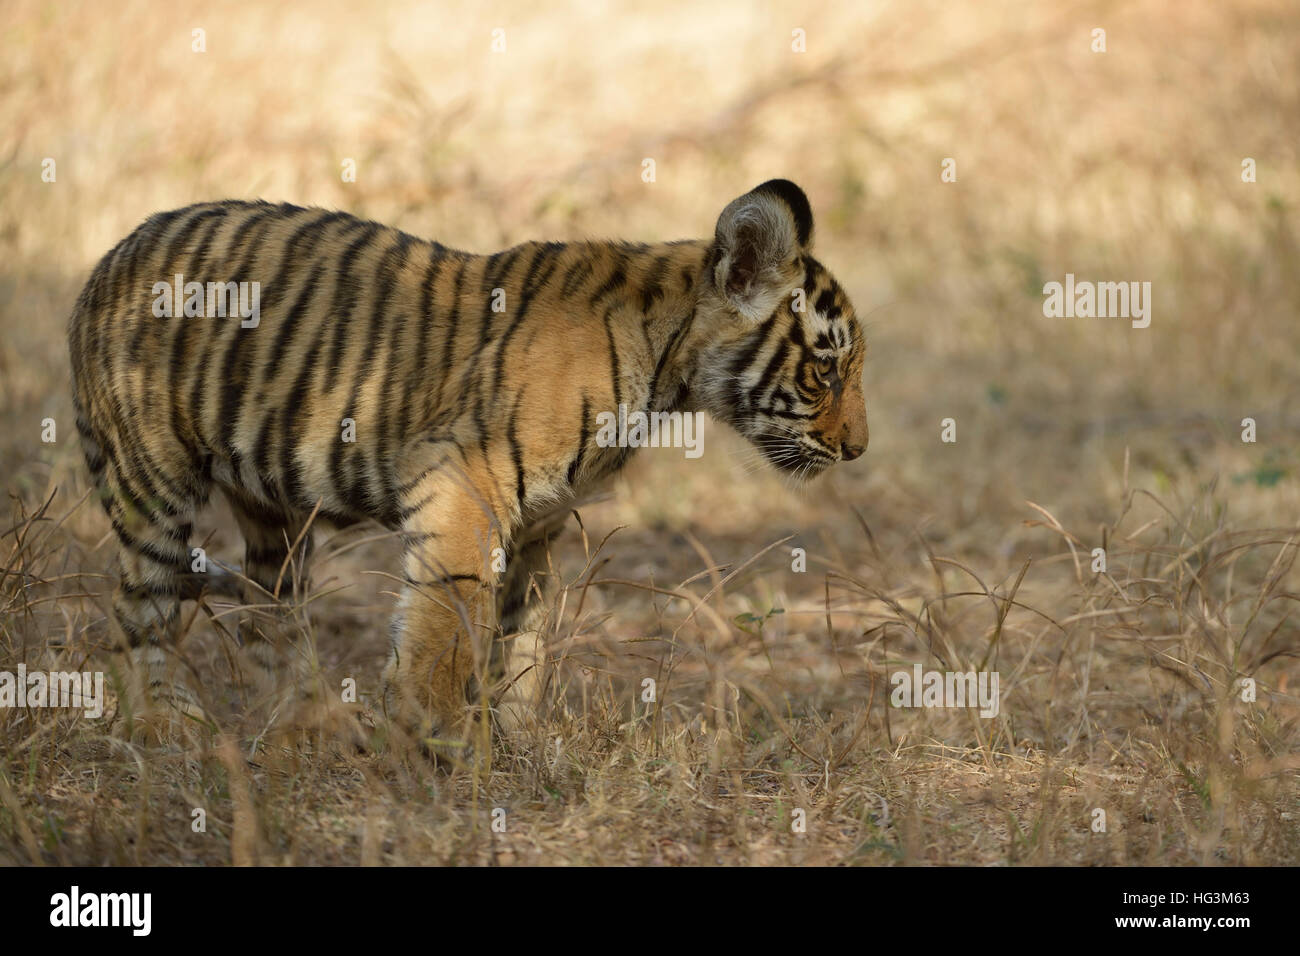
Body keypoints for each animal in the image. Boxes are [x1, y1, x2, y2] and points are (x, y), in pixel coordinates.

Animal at [67, 178, 868, 750]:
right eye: (826, 370)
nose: (858, 449)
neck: (669, 372)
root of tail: (107, 259)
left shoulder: (543, 519)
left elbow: (523, 631)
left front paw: (518, 734)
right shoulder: (461, 478)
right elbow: (450, 611)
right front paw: (437, 733)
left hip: (273, 517)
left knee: (272, 622)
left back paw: (314, 722)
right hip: (153, 483)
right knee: (138, 612)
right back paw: (169, 726)